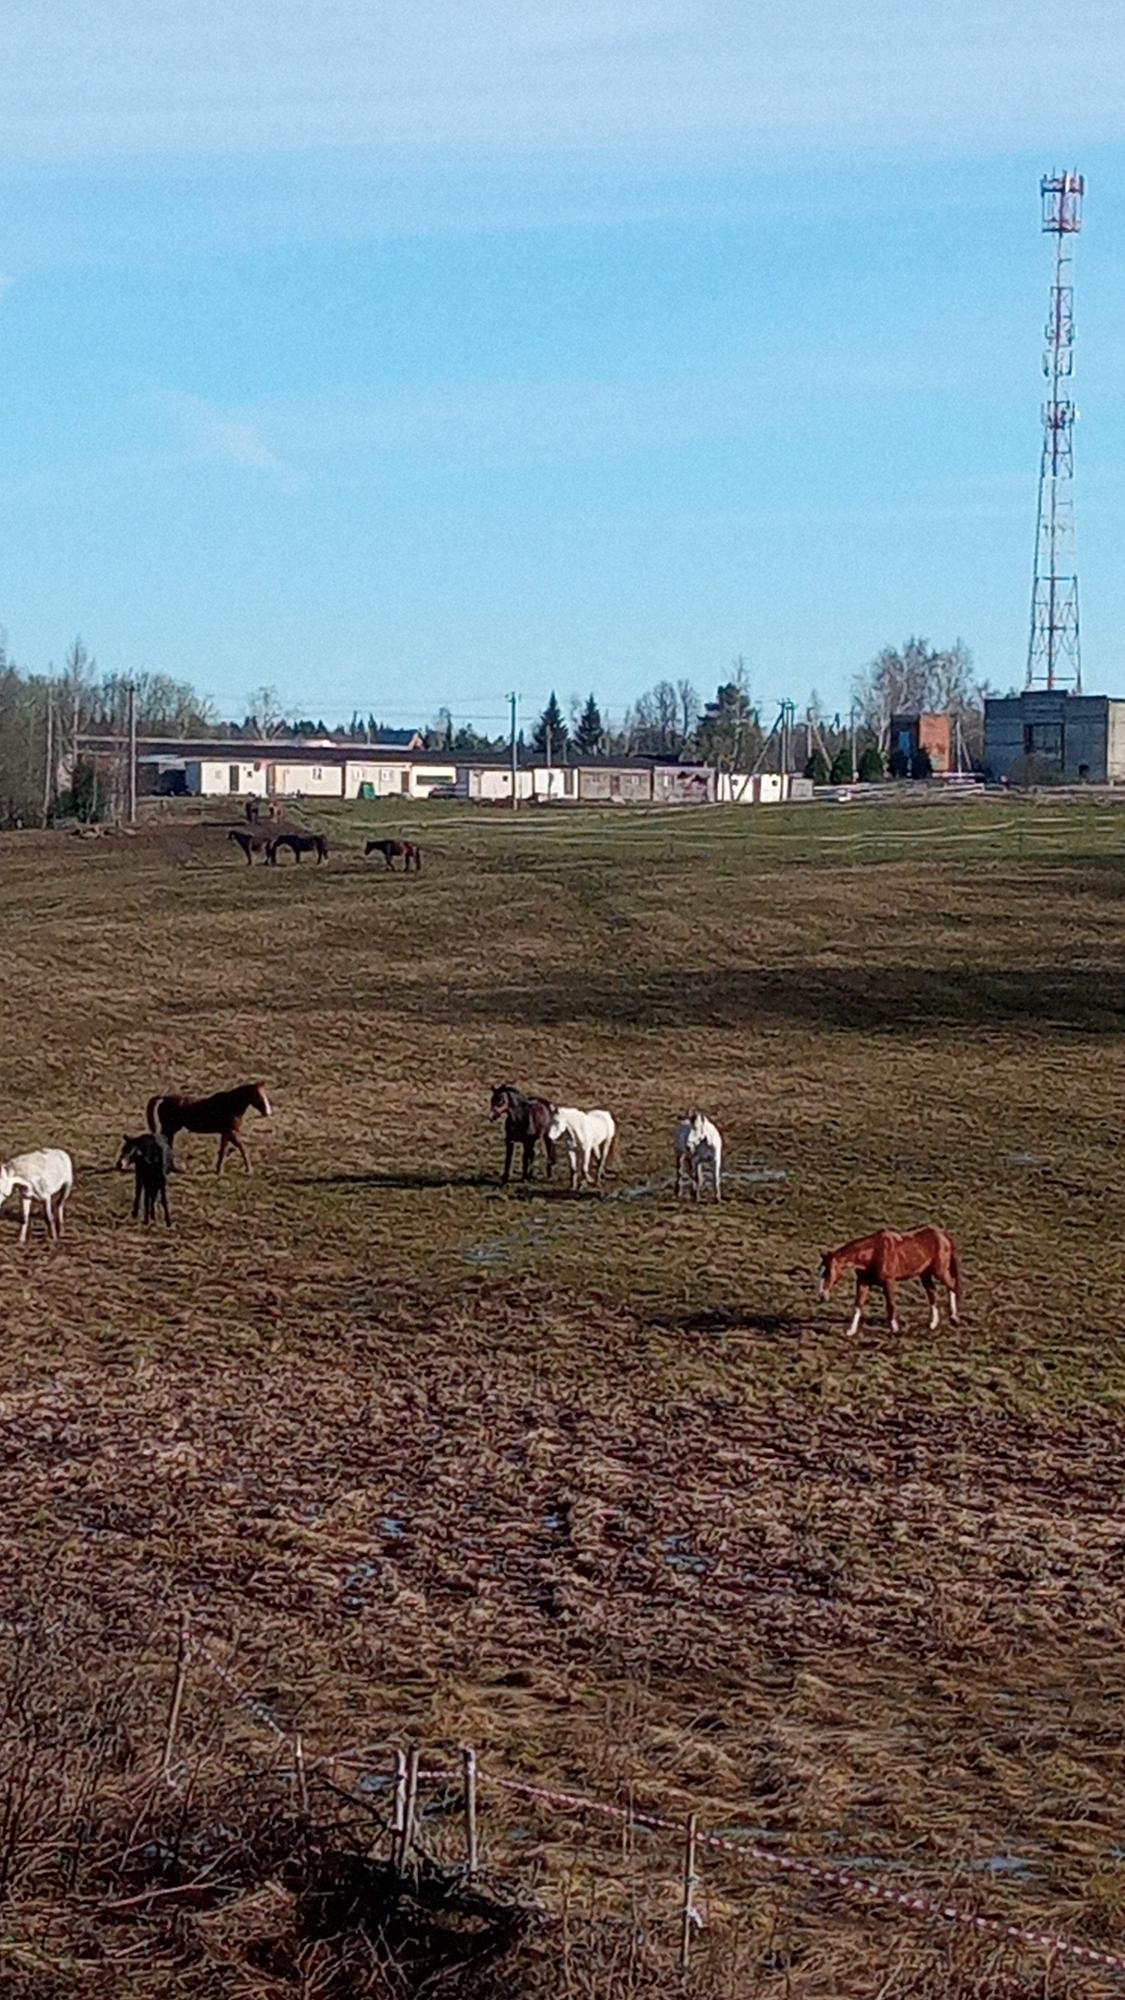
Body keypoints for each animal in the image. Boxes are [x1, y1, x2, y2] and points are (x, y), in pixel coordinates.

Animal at [144, 1088, 272, 1176]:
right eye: (258, 1095)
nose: (267, 1112)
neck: (231, 1105)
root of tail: (165, 1098)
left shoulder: (226, 1133)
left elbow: (225, 1149)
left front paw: (219, 1169)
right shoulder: (230, 1132)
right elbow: (240, 1147)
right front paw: (248, 1170)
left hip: (171, 1129)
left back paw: (174, 1168)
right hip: (169, 1128)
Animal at [808, 1224, 960, 1336]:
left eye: (827, 1272)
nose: (821, 1295)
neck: (873, 1253)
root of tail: (943, 1234)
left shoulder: (888, 1282)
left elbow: (890, 1304)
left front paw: (895, 1330)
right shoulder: (863, 1283)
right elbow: (858, 1305)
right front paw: (851, 1331)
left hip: (940, 1271)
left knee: (951, 1285)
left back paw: (954, 1318)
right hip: (925, 1274)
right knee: (932, 1293)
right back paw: (933, 1324)